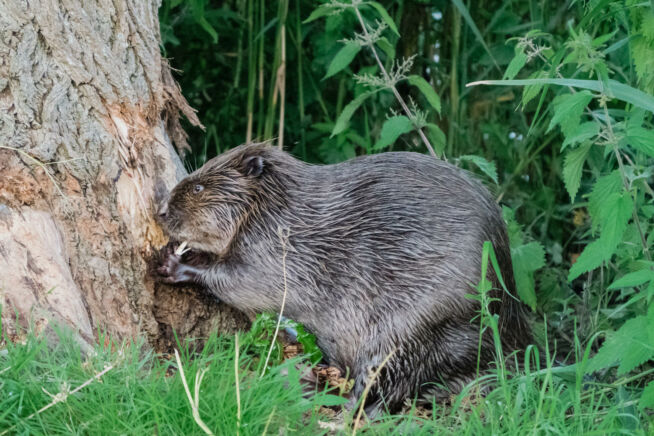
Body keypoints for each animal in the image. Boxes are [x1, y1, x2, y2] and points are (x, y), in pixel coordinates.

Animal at [158, 142, 532, 416]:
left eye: (198, 186)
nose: (161, 211)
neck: (277, 206)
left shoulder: (275, 246)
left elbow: (244, 281)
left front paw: (172, 263)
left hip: (415, 327)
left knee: (380, 391)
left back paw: (321, 398)